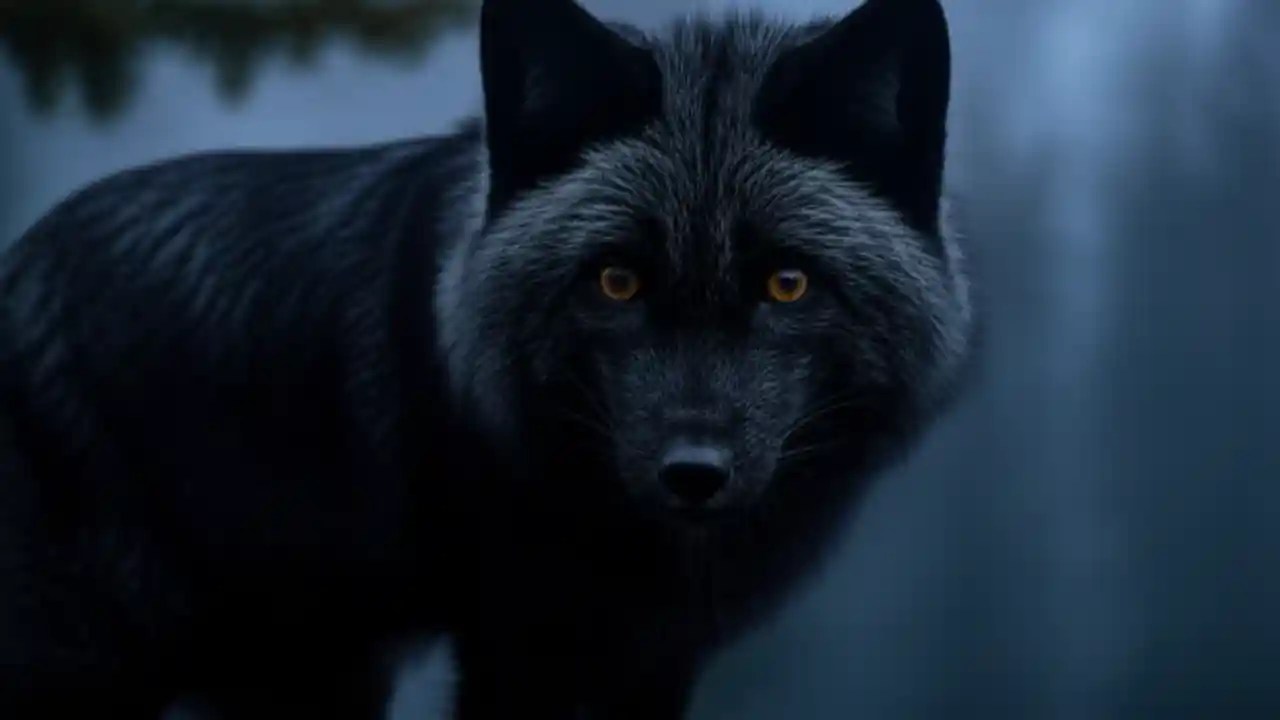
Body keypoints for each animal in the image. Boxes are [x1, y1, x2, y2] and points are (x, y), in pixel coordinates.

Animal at [0, 0, 975, 717]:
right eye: (616, 281)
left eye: (787, 284)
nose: (692, 473)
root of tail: (21, 262)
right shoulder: (525, 645)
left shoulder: (653, 657)